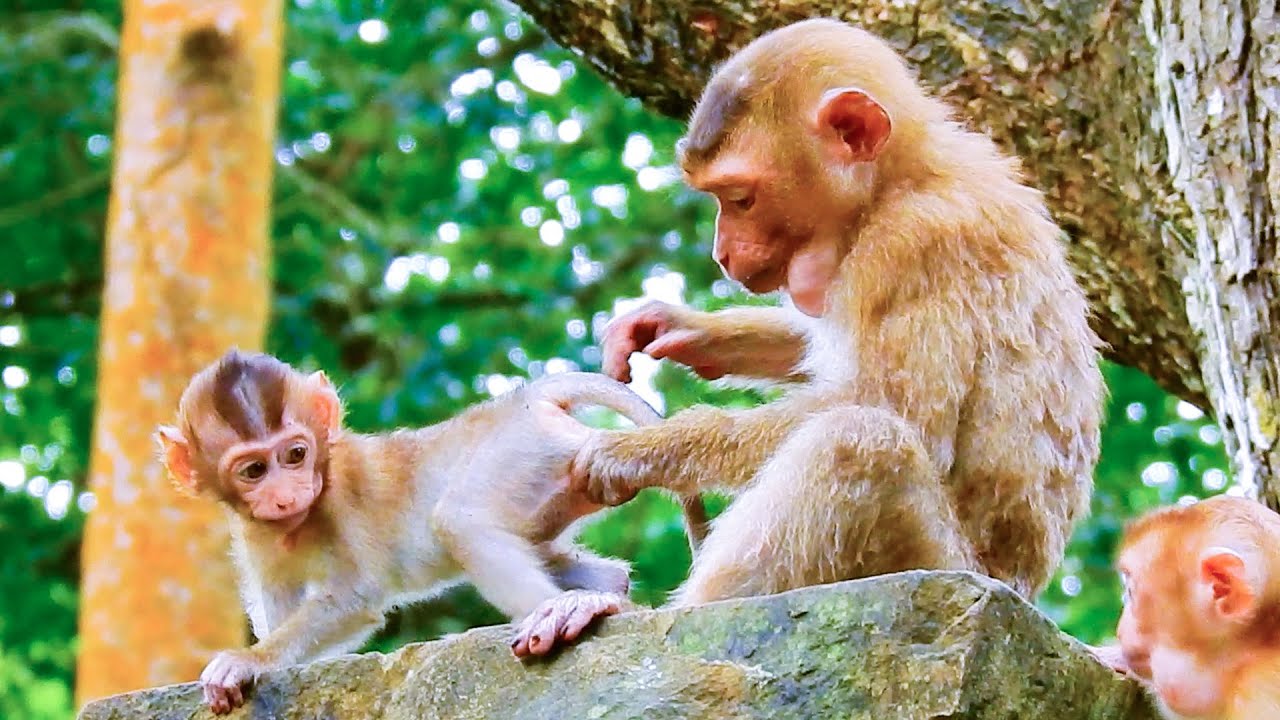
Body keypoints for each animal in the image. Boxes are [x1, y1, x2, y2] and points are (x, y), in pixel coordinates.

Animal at [156, 349, 708, 713]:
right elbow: (280, 602)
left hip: (525, 452)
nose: (286, 494)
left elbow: (352, 599)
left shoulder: (341, 501)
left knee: (460, 522)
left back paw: (568, 610)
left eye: (295, 454)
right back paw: (603, 591)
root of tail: (526, 399)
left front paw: (248, 661)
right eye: (253, 470)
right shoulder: (255, 536)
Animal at [561, 18, 1104, 629]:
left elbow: (890, 409)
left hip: (936, 560)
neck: (895, 183)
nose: (722, 254)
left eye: (740, 198)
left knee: (859, 443)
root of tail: (1022, 589)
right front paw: (683, 329)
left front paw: (647, 448)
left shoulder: (913, 243)